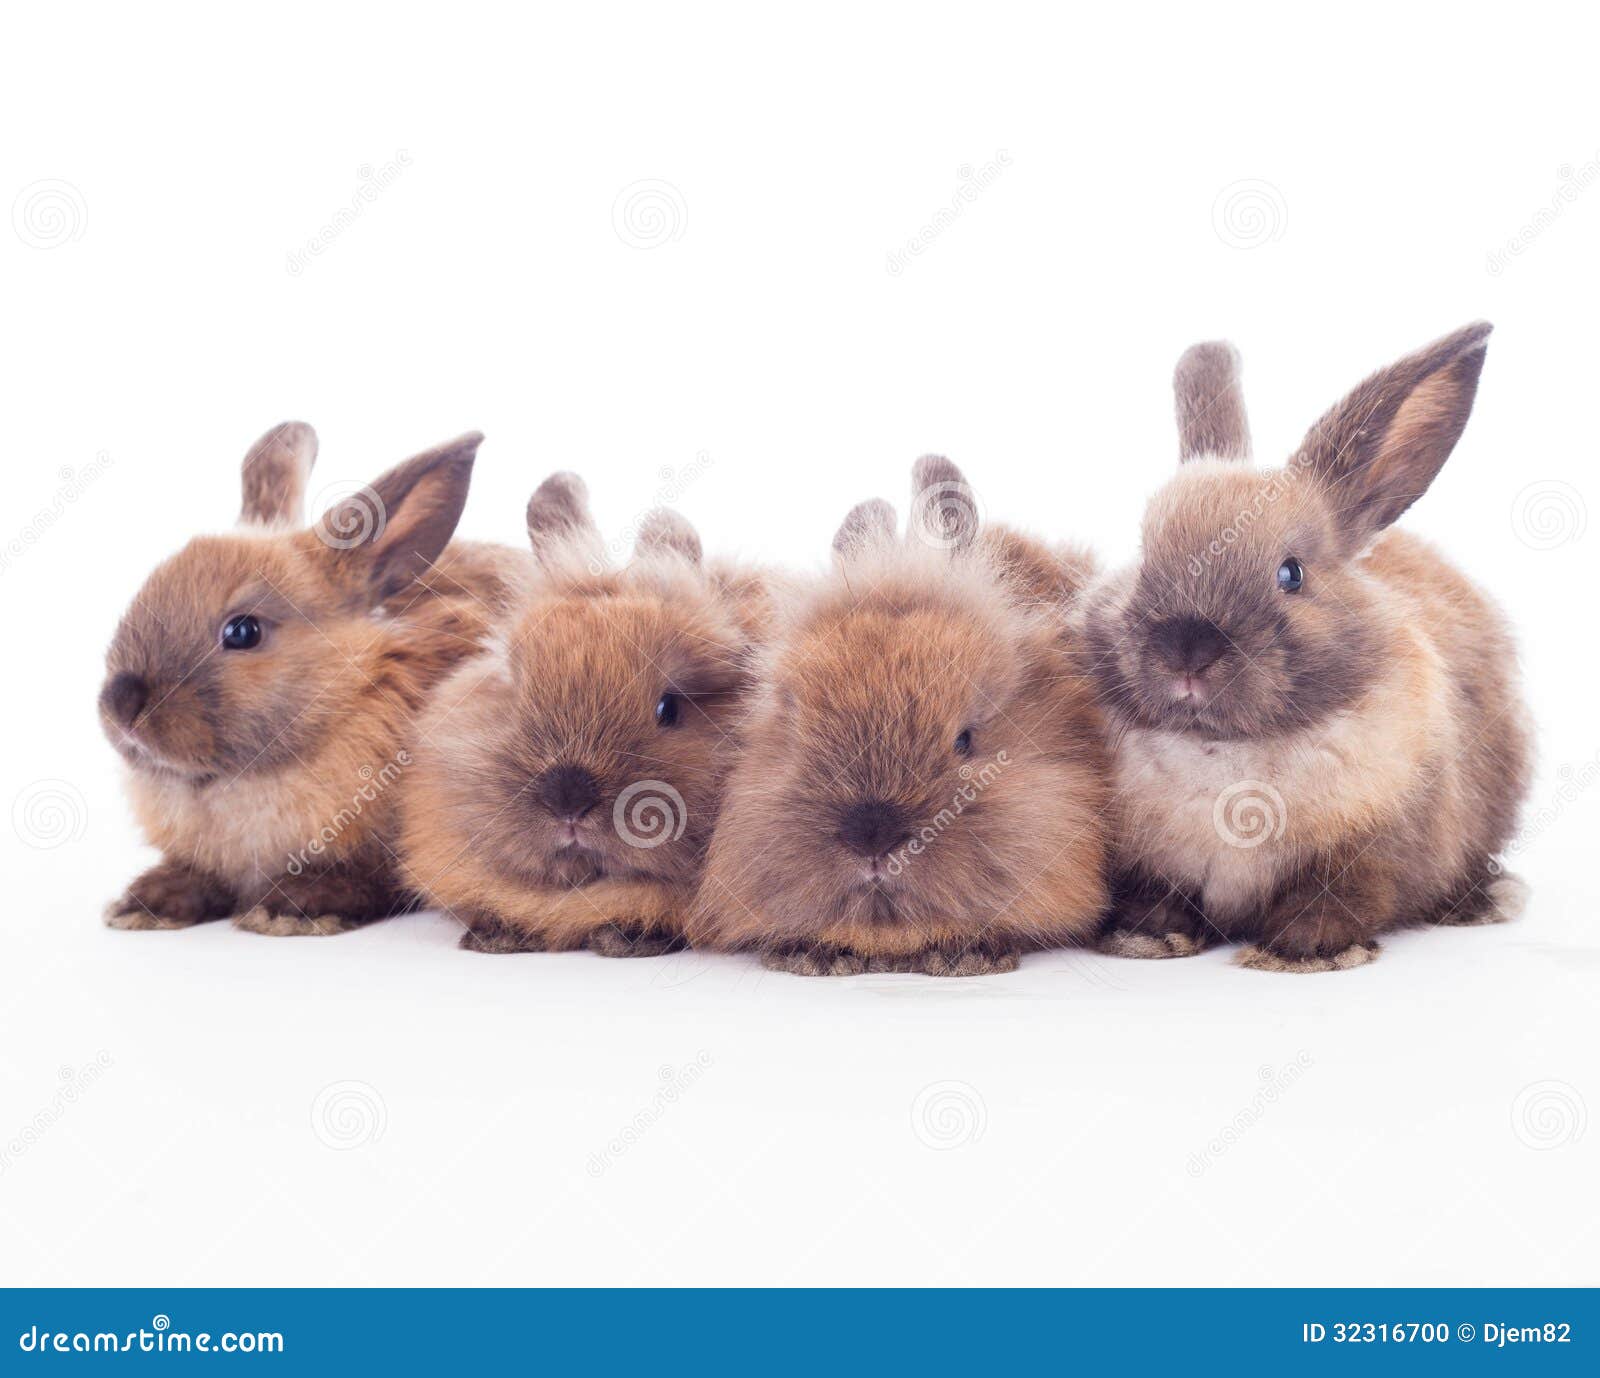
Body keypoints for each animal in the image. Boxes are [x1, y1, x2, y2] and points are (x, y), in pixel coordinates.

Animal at [1079, 322, 1533, 972]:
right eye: (1143, 557)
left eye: (1290, 574)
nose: (1186, 650)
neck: (1226, 750)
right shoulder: (1147, 863)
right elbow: (1157, 895)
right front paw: (1146, 938)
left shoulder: (1372, 852)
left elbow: (1342, 897)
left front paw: (1303, 951)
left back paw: (1487, 901)